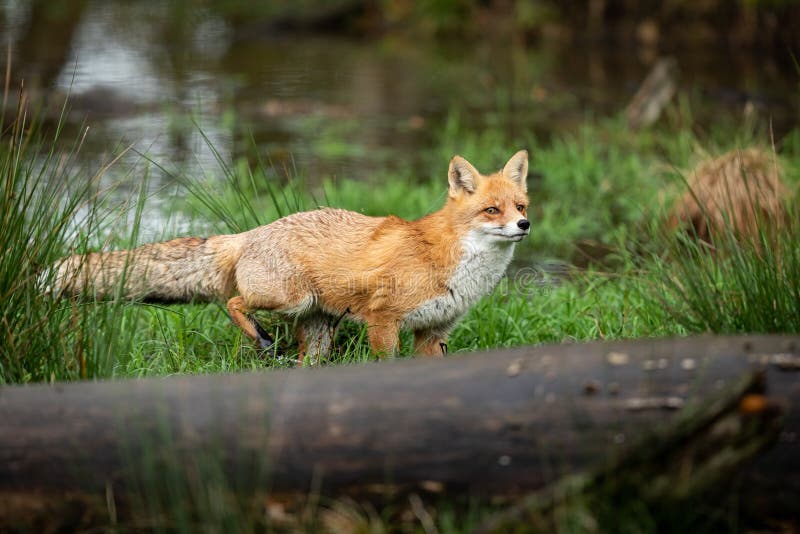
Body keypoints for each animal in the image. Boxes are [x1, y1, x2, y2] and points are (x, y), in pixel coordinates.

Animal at [50, 150, 531, 364]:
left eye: (521, 206)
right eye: (492, 211)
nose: (524, 226)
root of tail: (250, 233)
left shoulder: (434, 333)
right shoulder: (384, 319)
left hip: (315, 329)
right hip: (289, 300)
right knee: (233, 302)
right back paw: (259, 337)